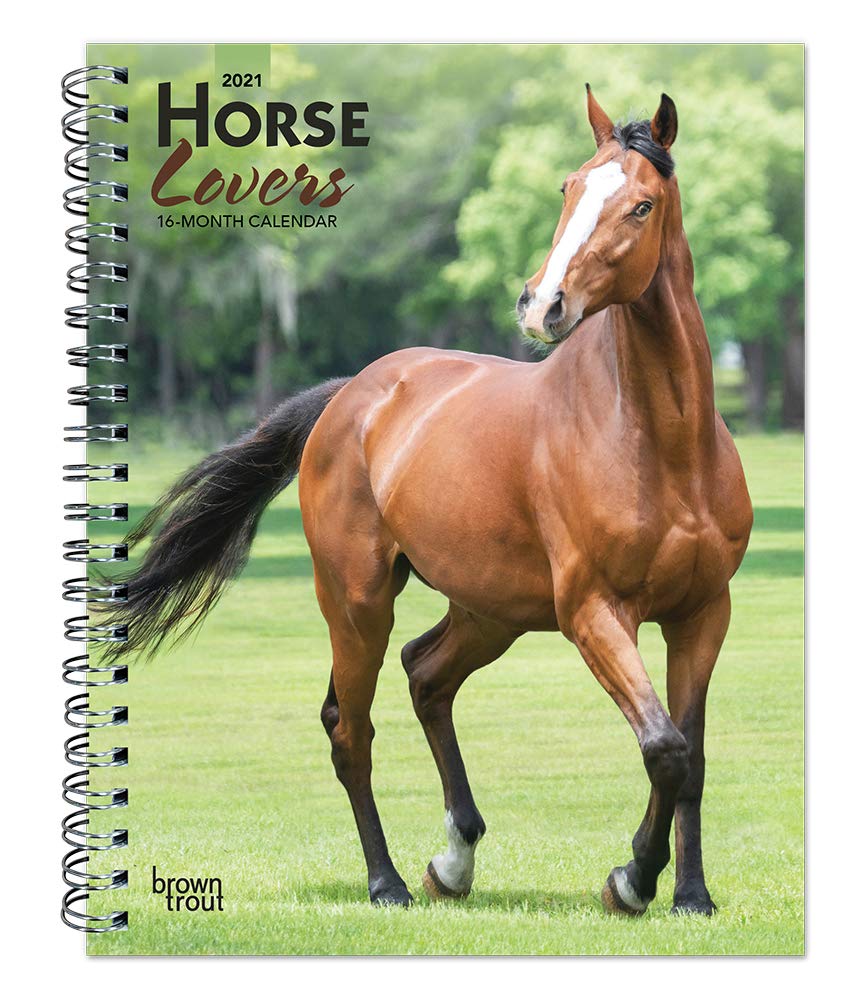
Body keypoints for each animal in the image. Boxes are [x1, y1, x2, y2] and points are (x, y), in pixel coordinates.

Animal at [103, 87, 753, 917]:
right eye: (568, 187)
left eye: (640, 205)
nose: (542, 305)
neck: (659, 445)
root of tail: (349, 396)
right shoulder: (595, 613)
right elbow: (662, 746)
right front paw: (631, 880)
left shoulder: (702, 613)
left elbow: (690, 756)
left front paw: (691, 897)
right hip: (358, 602)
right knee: (352, 729)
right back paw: (387, 883)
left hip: (490, 611)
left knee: (425, 674)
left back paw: (453, 862)